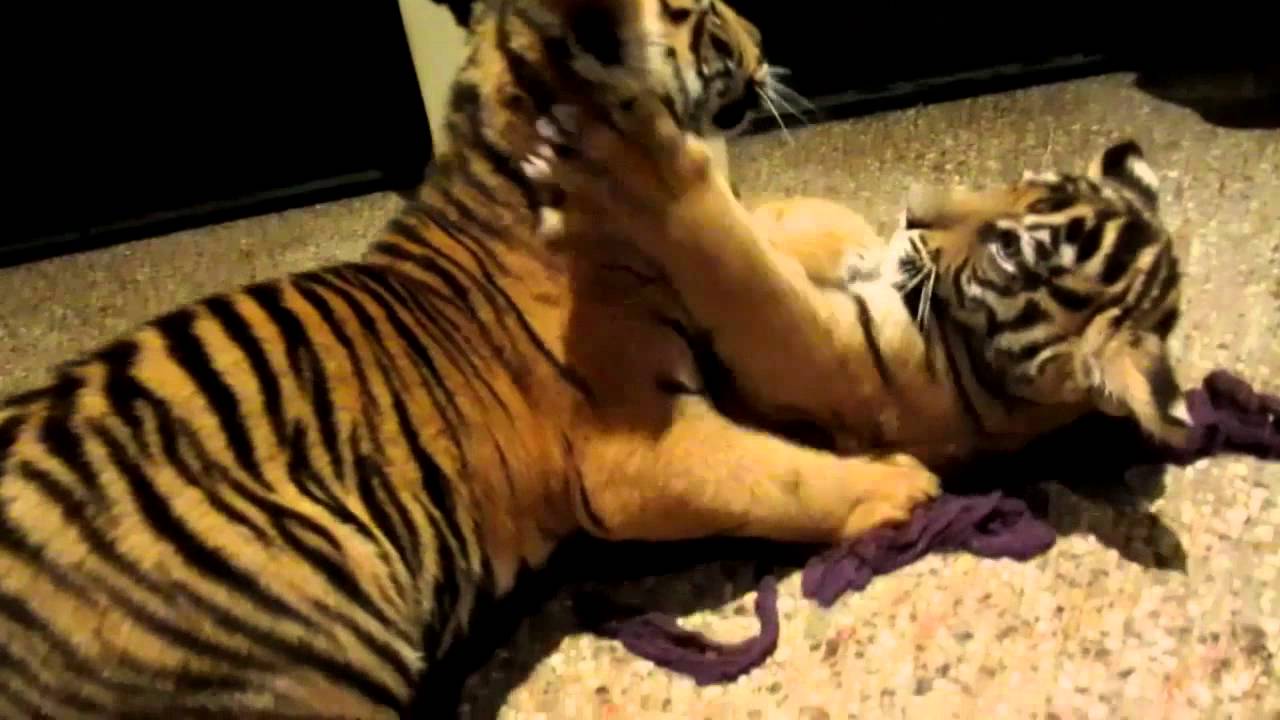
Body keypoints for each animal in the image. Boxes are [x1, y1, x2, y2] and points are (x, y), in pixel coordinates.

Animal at [0, 1, 941, 717]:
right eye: (702, 9)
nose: (759, 34)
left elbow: (766, 232)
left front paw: (843, 235)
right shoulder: (635, 454)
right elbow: (774, 473)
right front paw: (895, 485)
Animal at [526, 100, 1189, 476]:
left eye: (1005, 250)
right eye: (1020, 180)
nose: (912, 209)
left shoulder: (815, 351)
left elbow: (733, 254)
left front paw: (608, 161)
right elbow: (775, 236)